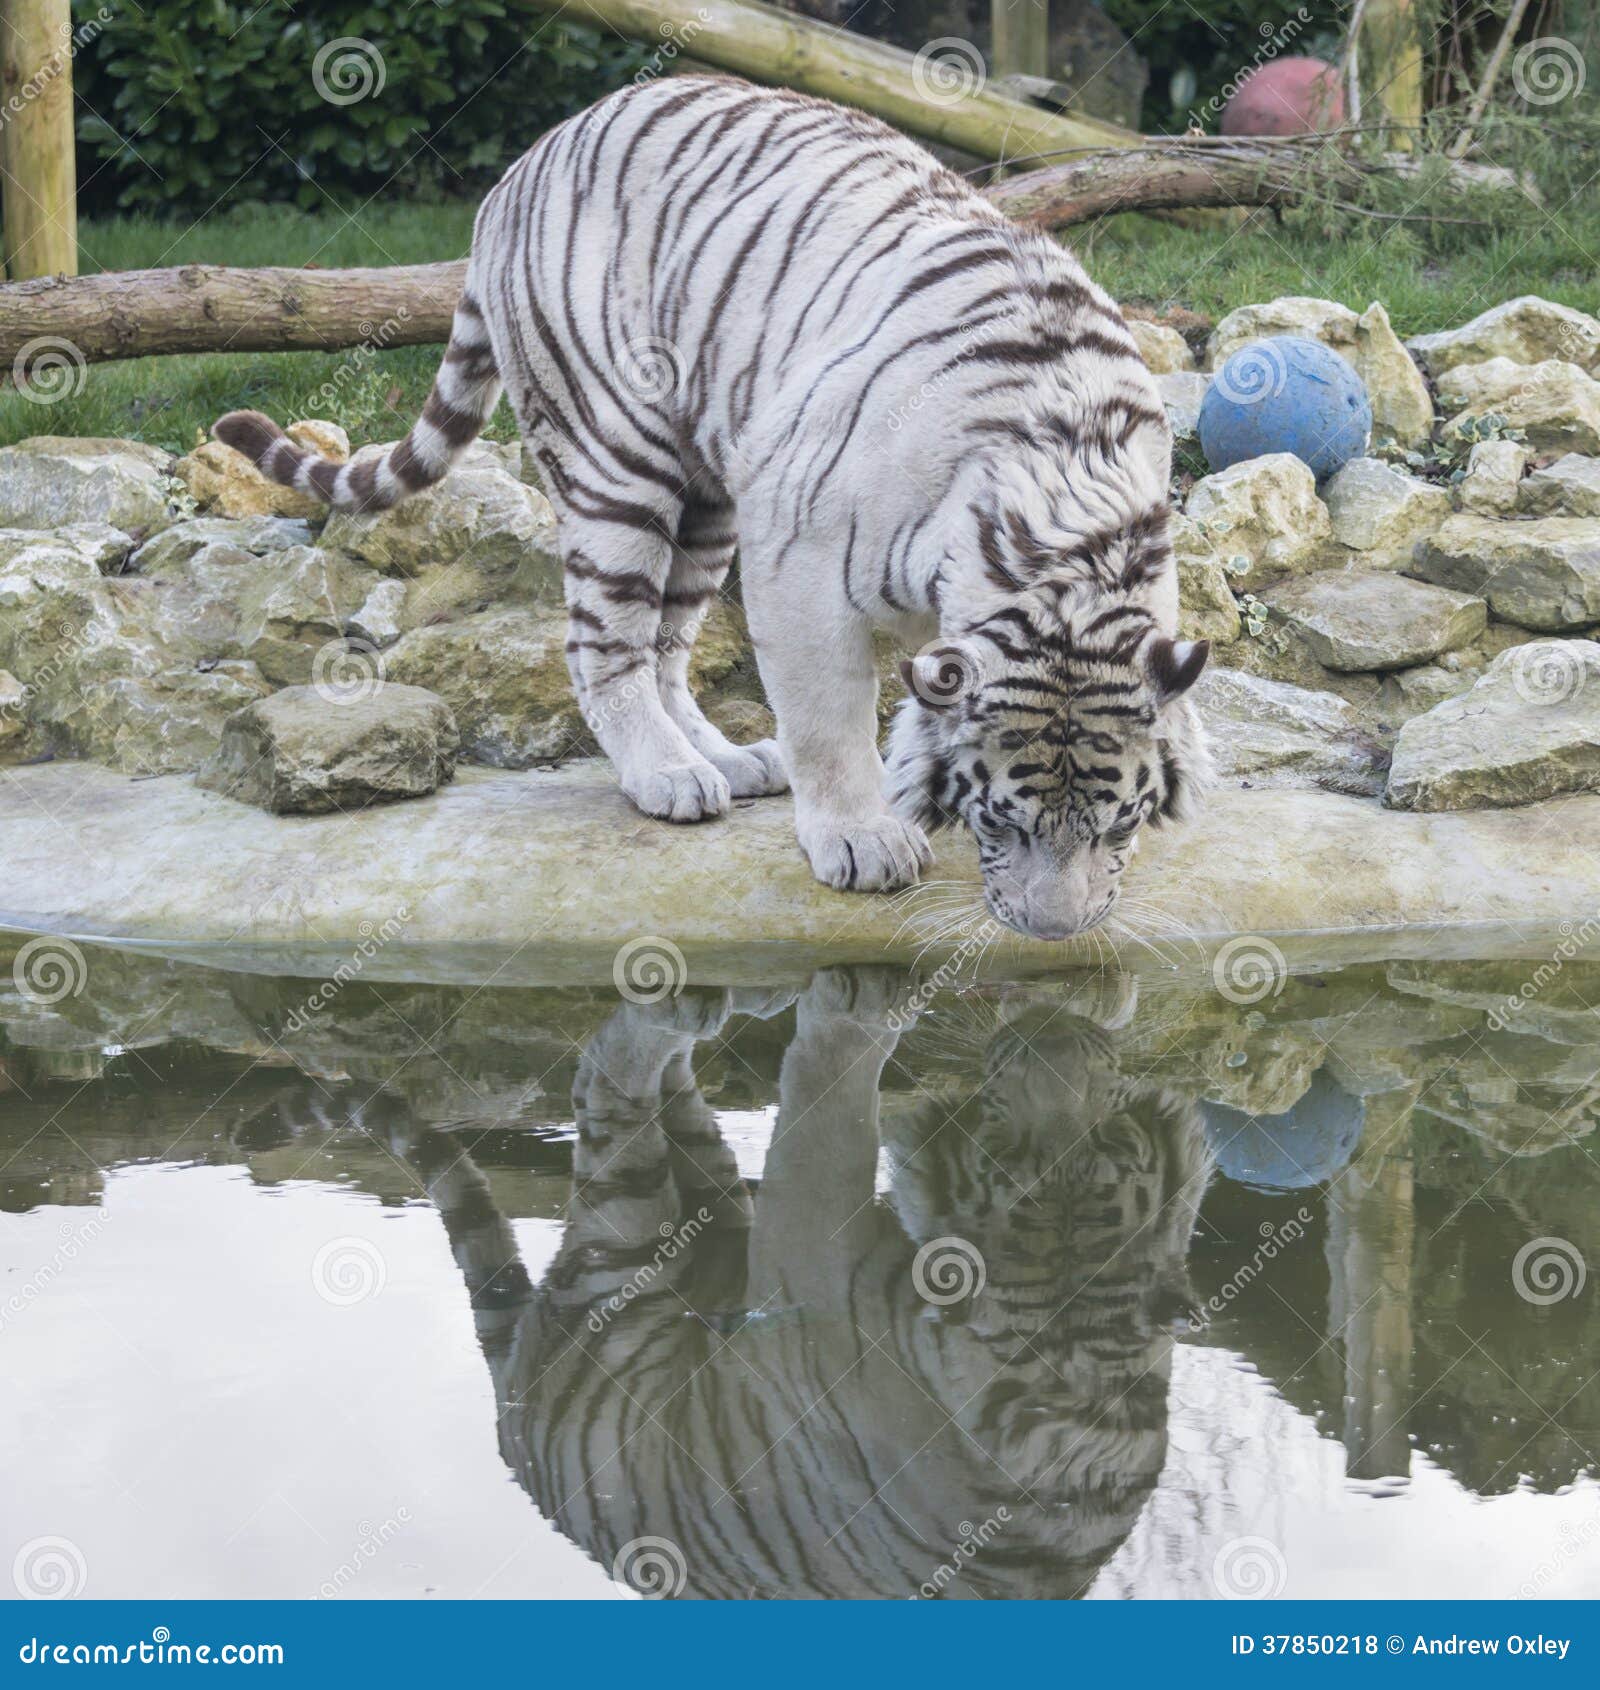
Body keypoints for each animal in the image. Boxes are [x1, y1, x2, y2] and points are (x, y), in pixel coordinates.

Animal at [213, 75, 1209, 940]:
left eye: (1121, 825)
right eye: (1002, 822)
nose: (1056, 931)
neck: (1072, 546)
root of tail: (517, 170)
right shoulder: (802, 561)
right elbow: (827, 721)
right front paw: (862, 837)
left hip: (708, 500)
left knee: (665, 646)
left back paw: (721, 761)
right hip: (619, 464)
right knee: (603, 647)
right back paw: (666, 776)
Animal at [394, 967, 1213, 1599]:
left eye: (1111, 1137)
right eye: (1005, 1156)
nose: (1049, 1031)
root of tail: (509, 1417)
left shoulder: (808, 1253)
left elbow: (830, 1080)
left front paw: (856, 1003)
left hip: (634, 1238)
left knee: (614, 1075)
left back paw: (698, 1005)